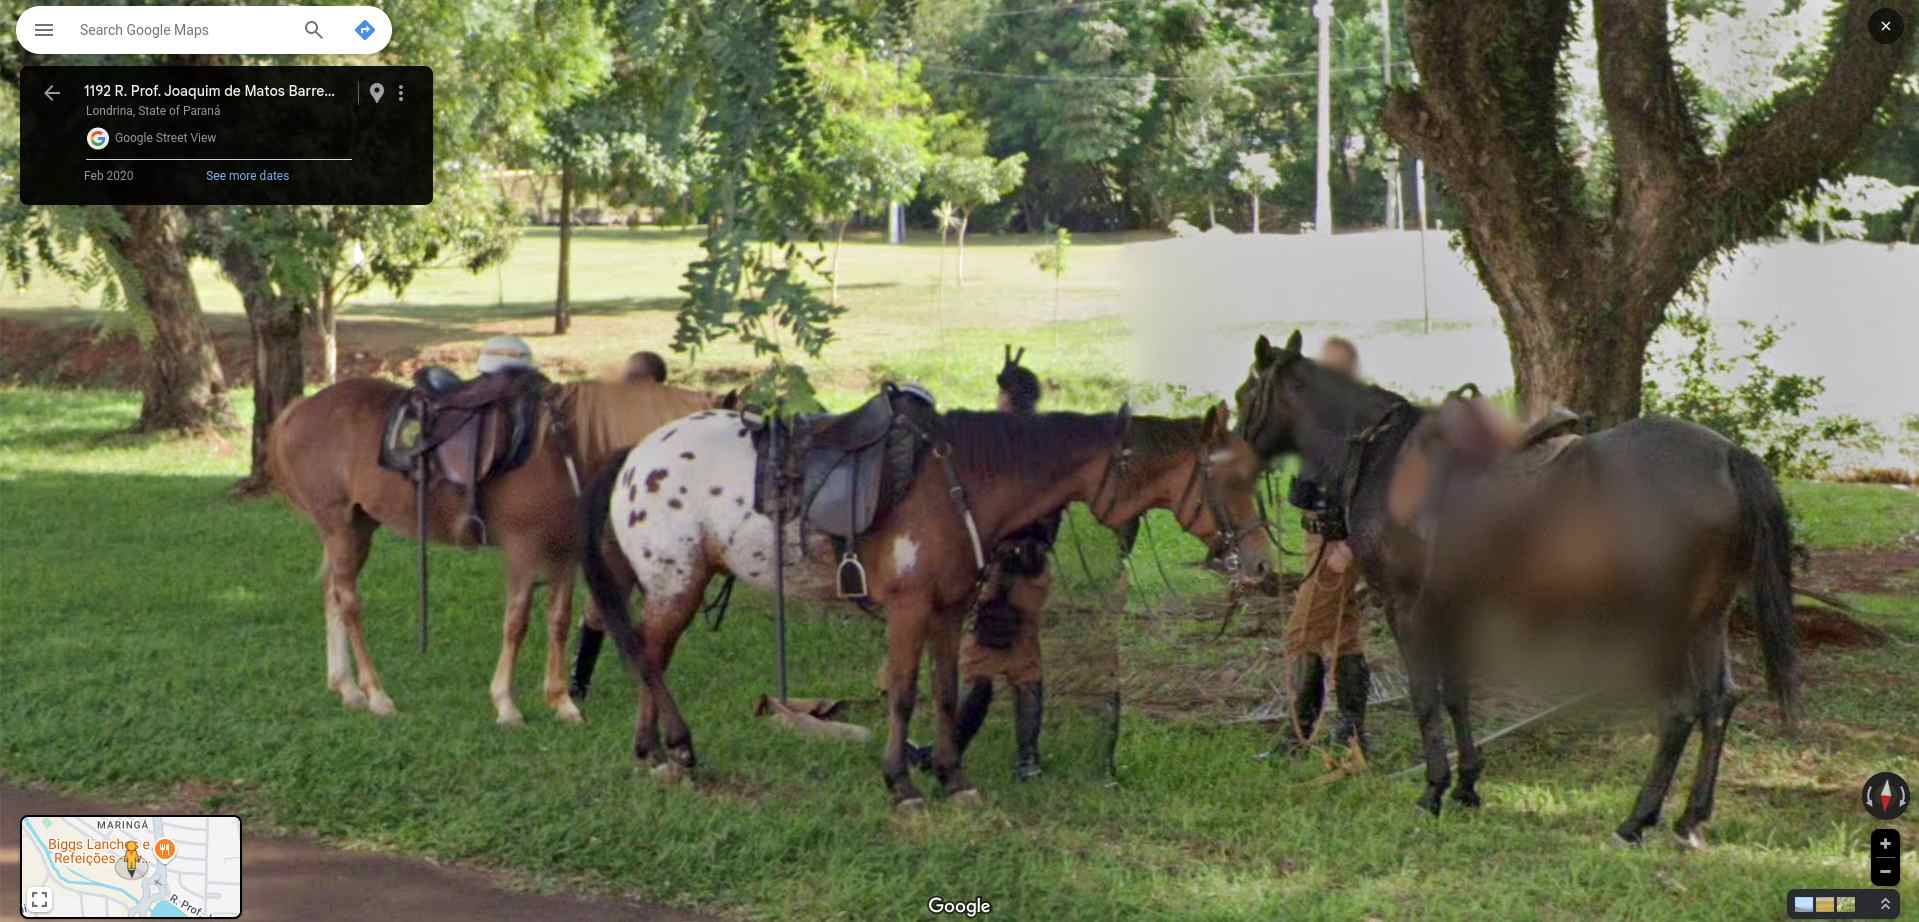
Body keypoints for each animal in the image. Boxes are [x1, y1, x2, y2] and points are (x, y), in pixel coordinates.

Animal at [269, 376, 725, 725]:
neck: (565, 450)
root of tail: (301, 408)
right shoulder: (523, 553)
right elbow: (517, 622)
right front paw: (506, 704)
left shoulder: (565, 555)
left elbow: (559, 622)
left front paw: (561, 701)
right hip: (340, 526)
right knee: (348, 603)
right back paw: (375, 692)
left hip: (357, 527)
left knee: (332, 594)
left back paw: (345, 687)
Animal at [579, 399, 1273, 806]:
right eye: (1234, 478)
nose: (1265, 565)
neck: (963, 481)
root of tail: (635, 455)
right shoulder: (910, 609)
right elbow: (905, 693)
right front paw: (901, 782)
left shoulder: (949, 608)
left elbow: (944, 691)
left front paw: (951, 776)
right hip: (678, 582)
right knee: (648, 656)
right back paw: (678, 747)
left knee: (649, 655)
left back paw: (652, 752)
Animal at [1232, 331, 1797, 848]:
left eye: (1244, 395)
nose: (1301, 497)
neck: (1385, 457)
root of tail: (1728, 456)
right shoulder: (1450, 609)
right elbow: (1456, 696)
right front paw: (1466, 787)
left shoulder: (1406, 608)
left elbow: (1425, 698)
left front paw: (1432, 791)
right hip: (1708, 620)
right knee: (1719, 703)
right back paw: (1690, 820)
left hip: (1664, 627)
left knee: (1679, 711)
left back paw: (1636, 821)